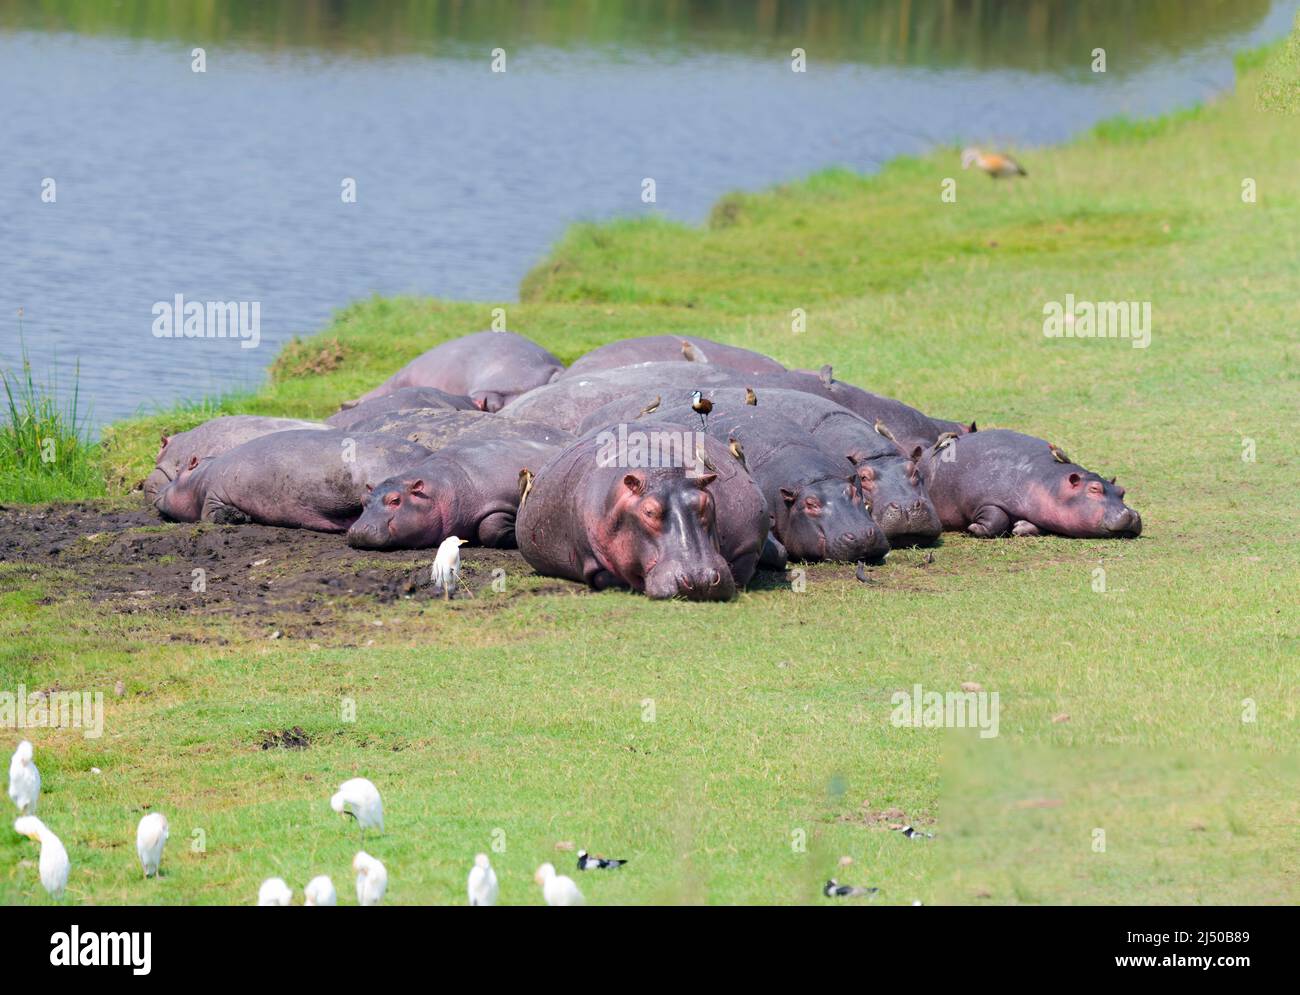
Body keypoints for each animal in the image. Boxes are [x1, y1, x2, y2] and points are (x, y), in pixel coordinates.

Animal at [154, 430, 431, 531]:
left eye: (178, 472)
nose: (157, 487)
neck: (199, 478)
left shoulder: (214, 494)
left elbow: (210, 514)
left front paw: (236, 517)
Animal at [346, 435, 564, 550]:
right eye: (363, 499)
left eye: (394, 500)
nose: (358, 531)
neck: (439, 489)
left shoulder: (500, 501)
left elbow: (490, 528)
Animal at [920, 429, 1142, 538]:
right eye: (1094, 489)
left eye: (1122, 491)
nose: (1130, 514)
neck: (1053, 485)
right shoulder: (985, 500)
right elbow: (996, 517)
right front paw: (974, 528)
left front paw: (1020, 527)